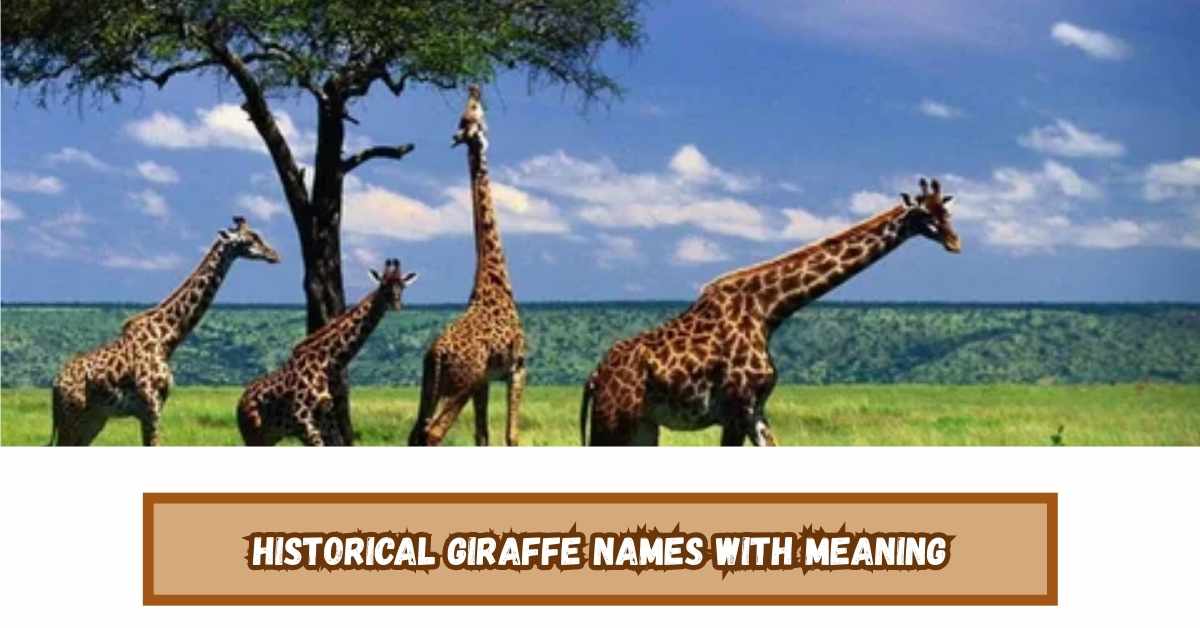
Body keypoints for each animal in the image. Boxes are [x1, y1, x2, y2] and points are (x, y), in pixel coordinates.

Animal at [50, 216, 280, 446]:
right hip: (73, 416)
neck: (167, 338)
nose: (275, 255)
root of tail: (55, 385)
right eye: (251, 238)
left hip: (93, 419)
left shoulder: (155, 407)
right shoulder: (151, 406)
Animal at [238, 259, 417, 446]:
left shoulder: (326, 417)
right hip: (253, 434)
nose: (396, 304)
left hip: (269, 436)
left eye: (402, 286)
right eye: (383, 285)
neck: (327, 362)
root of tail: (240, 403)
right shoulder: (302, 420)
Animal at [408, 85, 527, 447]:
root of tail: (436, 354)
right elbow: (511, 437)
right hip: (460, 384)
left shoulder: (486, 381)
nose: (475, 88)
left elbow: (482, 436)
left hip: (432, 387)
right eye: (475, 112)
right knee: (433, 433)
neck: (496, 280)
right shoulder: (518, 367)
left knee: (416, 434)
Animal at [580, 178, 961, 446]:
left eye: (947, 212)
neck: (769, 310)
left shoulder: (757, 410)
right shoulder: (737, 409)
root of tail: (594, 377)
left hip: (643, 426)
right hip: (614, 421)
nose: (954, 242)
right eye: (924, 214)